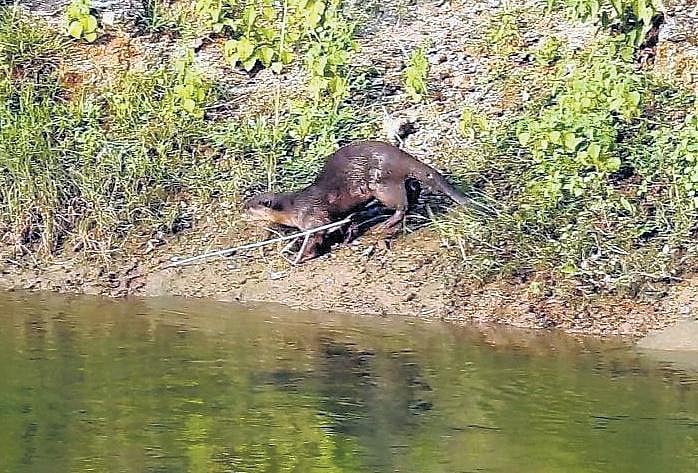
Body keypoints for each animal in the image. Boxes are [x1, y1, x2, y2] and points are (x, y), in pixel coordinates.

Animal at [244, 140, 480, 262]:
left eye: (251, 206)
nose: (242, 208)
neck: (294, 207)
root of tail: (401, 158)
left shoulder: (311, 216)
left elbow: (317, 234)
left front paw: (301, 255)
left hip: (382, 185)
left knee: (401, 205)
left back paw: (385, 225)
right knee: (414, 188)